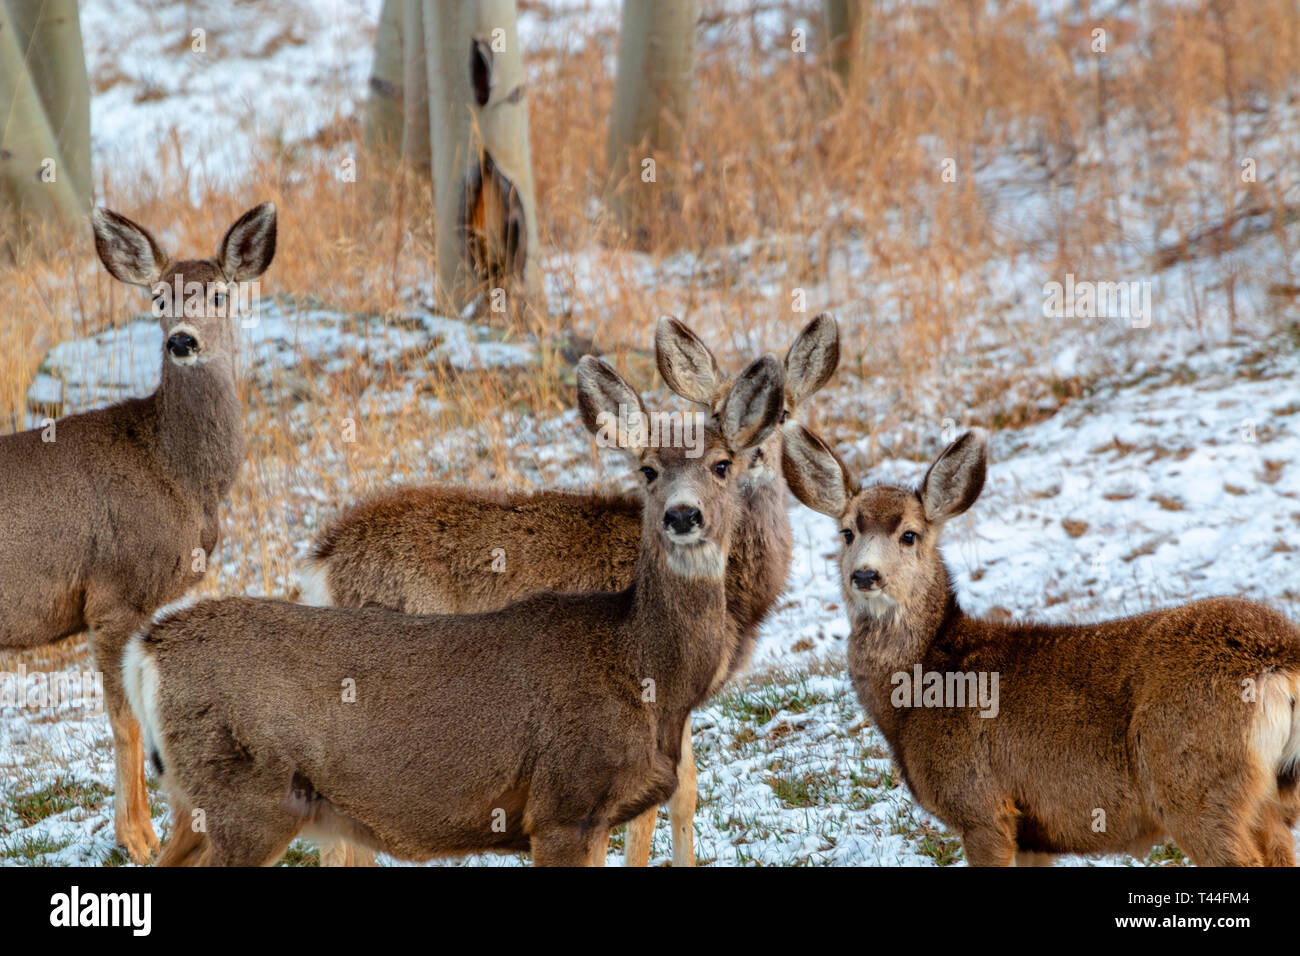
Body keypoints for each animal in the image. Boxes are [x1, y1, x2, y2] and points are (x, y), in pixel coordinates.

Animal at [0, 203, 275, 863]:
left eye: (221, 293)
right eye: (157, 297)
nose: (182, 340)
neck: (176, 471)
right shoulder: (112, 593)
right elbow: (124, 719)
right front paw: (140, 838)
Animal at [123, 353, 785, 867]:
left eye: (722, 465)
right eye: (647, 469)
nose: (682, 515)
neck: (644, 667)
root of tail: (146, 651)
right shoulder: (563, 806)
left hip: (207, 801)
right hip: (244, 798)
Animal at [298, 313, 839, 866]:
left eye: (783, 412)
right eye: (711, 412)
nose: (754, 457)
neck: (738, 601)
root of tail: (323, 562)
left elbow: (681, 792)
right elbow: (662, 799)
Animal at [781, 422, 1300, 866]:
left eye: (909, 534)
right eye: (847, 532)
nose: (865, 574)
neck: (919, 693)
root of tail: (1278, 659)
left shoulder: (982, 807)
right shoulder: (1035, 832)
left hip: (1191, 782)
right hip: (1268, 798)